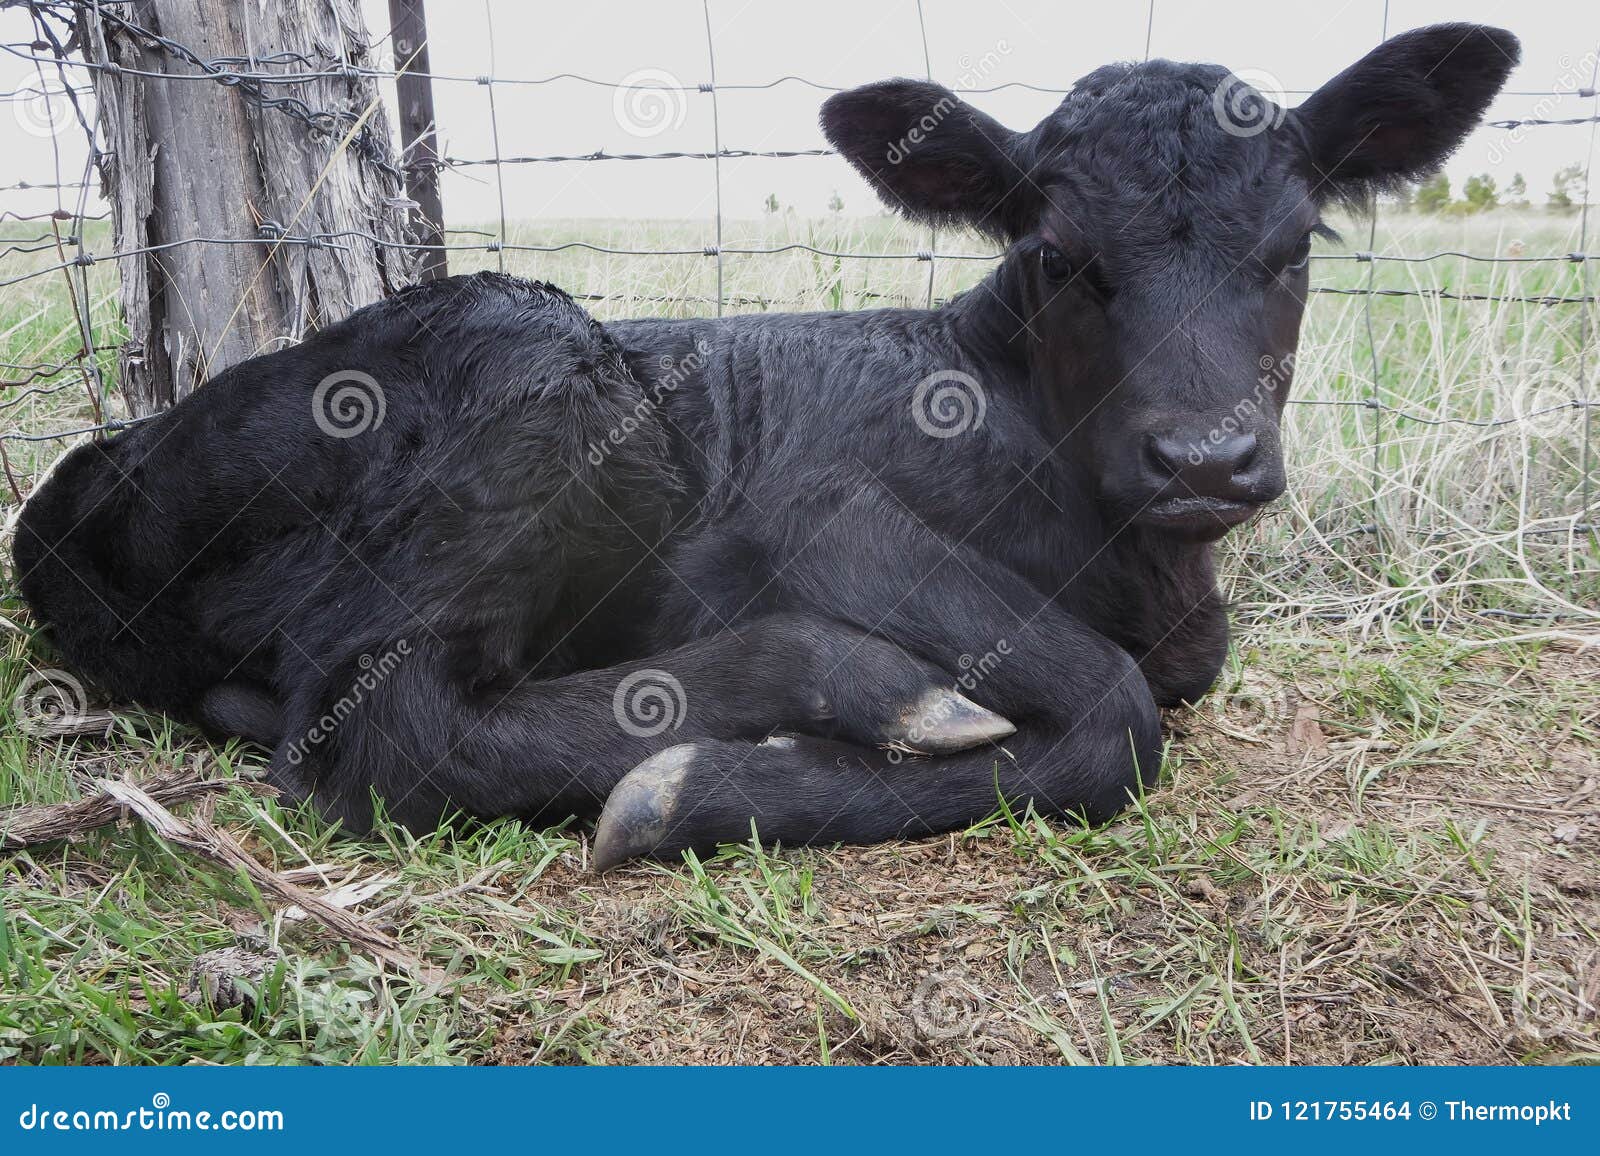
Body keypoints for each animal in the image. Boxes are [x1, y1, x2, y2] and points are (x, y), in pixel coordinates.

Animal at [12, 24, 1517, 868]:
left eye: (1297, 246)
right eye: (1060, 255)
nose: (1205, 460)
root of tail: (85, 479)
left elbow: (1173, 677)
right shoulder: (824, 519)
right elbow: (1114, 711)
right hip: (539, 365)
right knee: (390, 727)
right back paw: (806, 711)